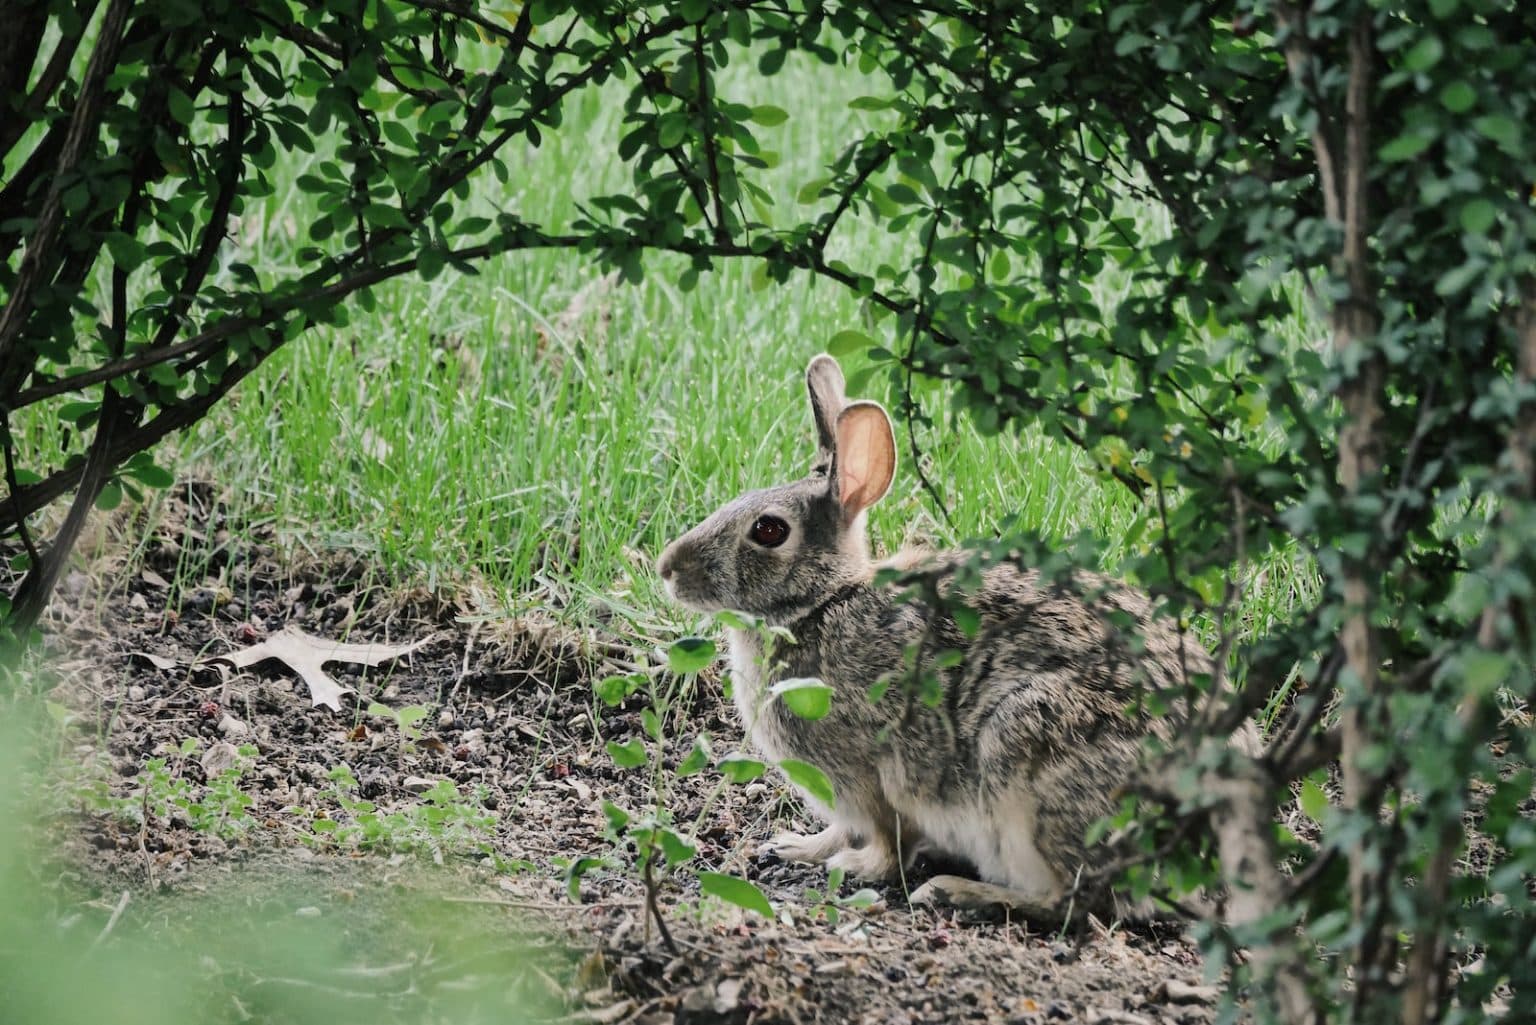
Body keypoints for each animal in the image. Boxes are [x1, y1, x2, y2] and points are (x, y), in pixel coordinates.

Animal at [656, 354, 1257, 917]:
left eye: (769, 530)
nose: (668, 568)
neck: (824, 602)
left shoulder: (871, 778)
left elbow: (887, 842)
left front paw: (854, 866)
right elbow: (840, 829)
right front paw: (797, 847)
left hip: (1028, 763)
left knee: (1073, 898)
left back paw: (953, 891)